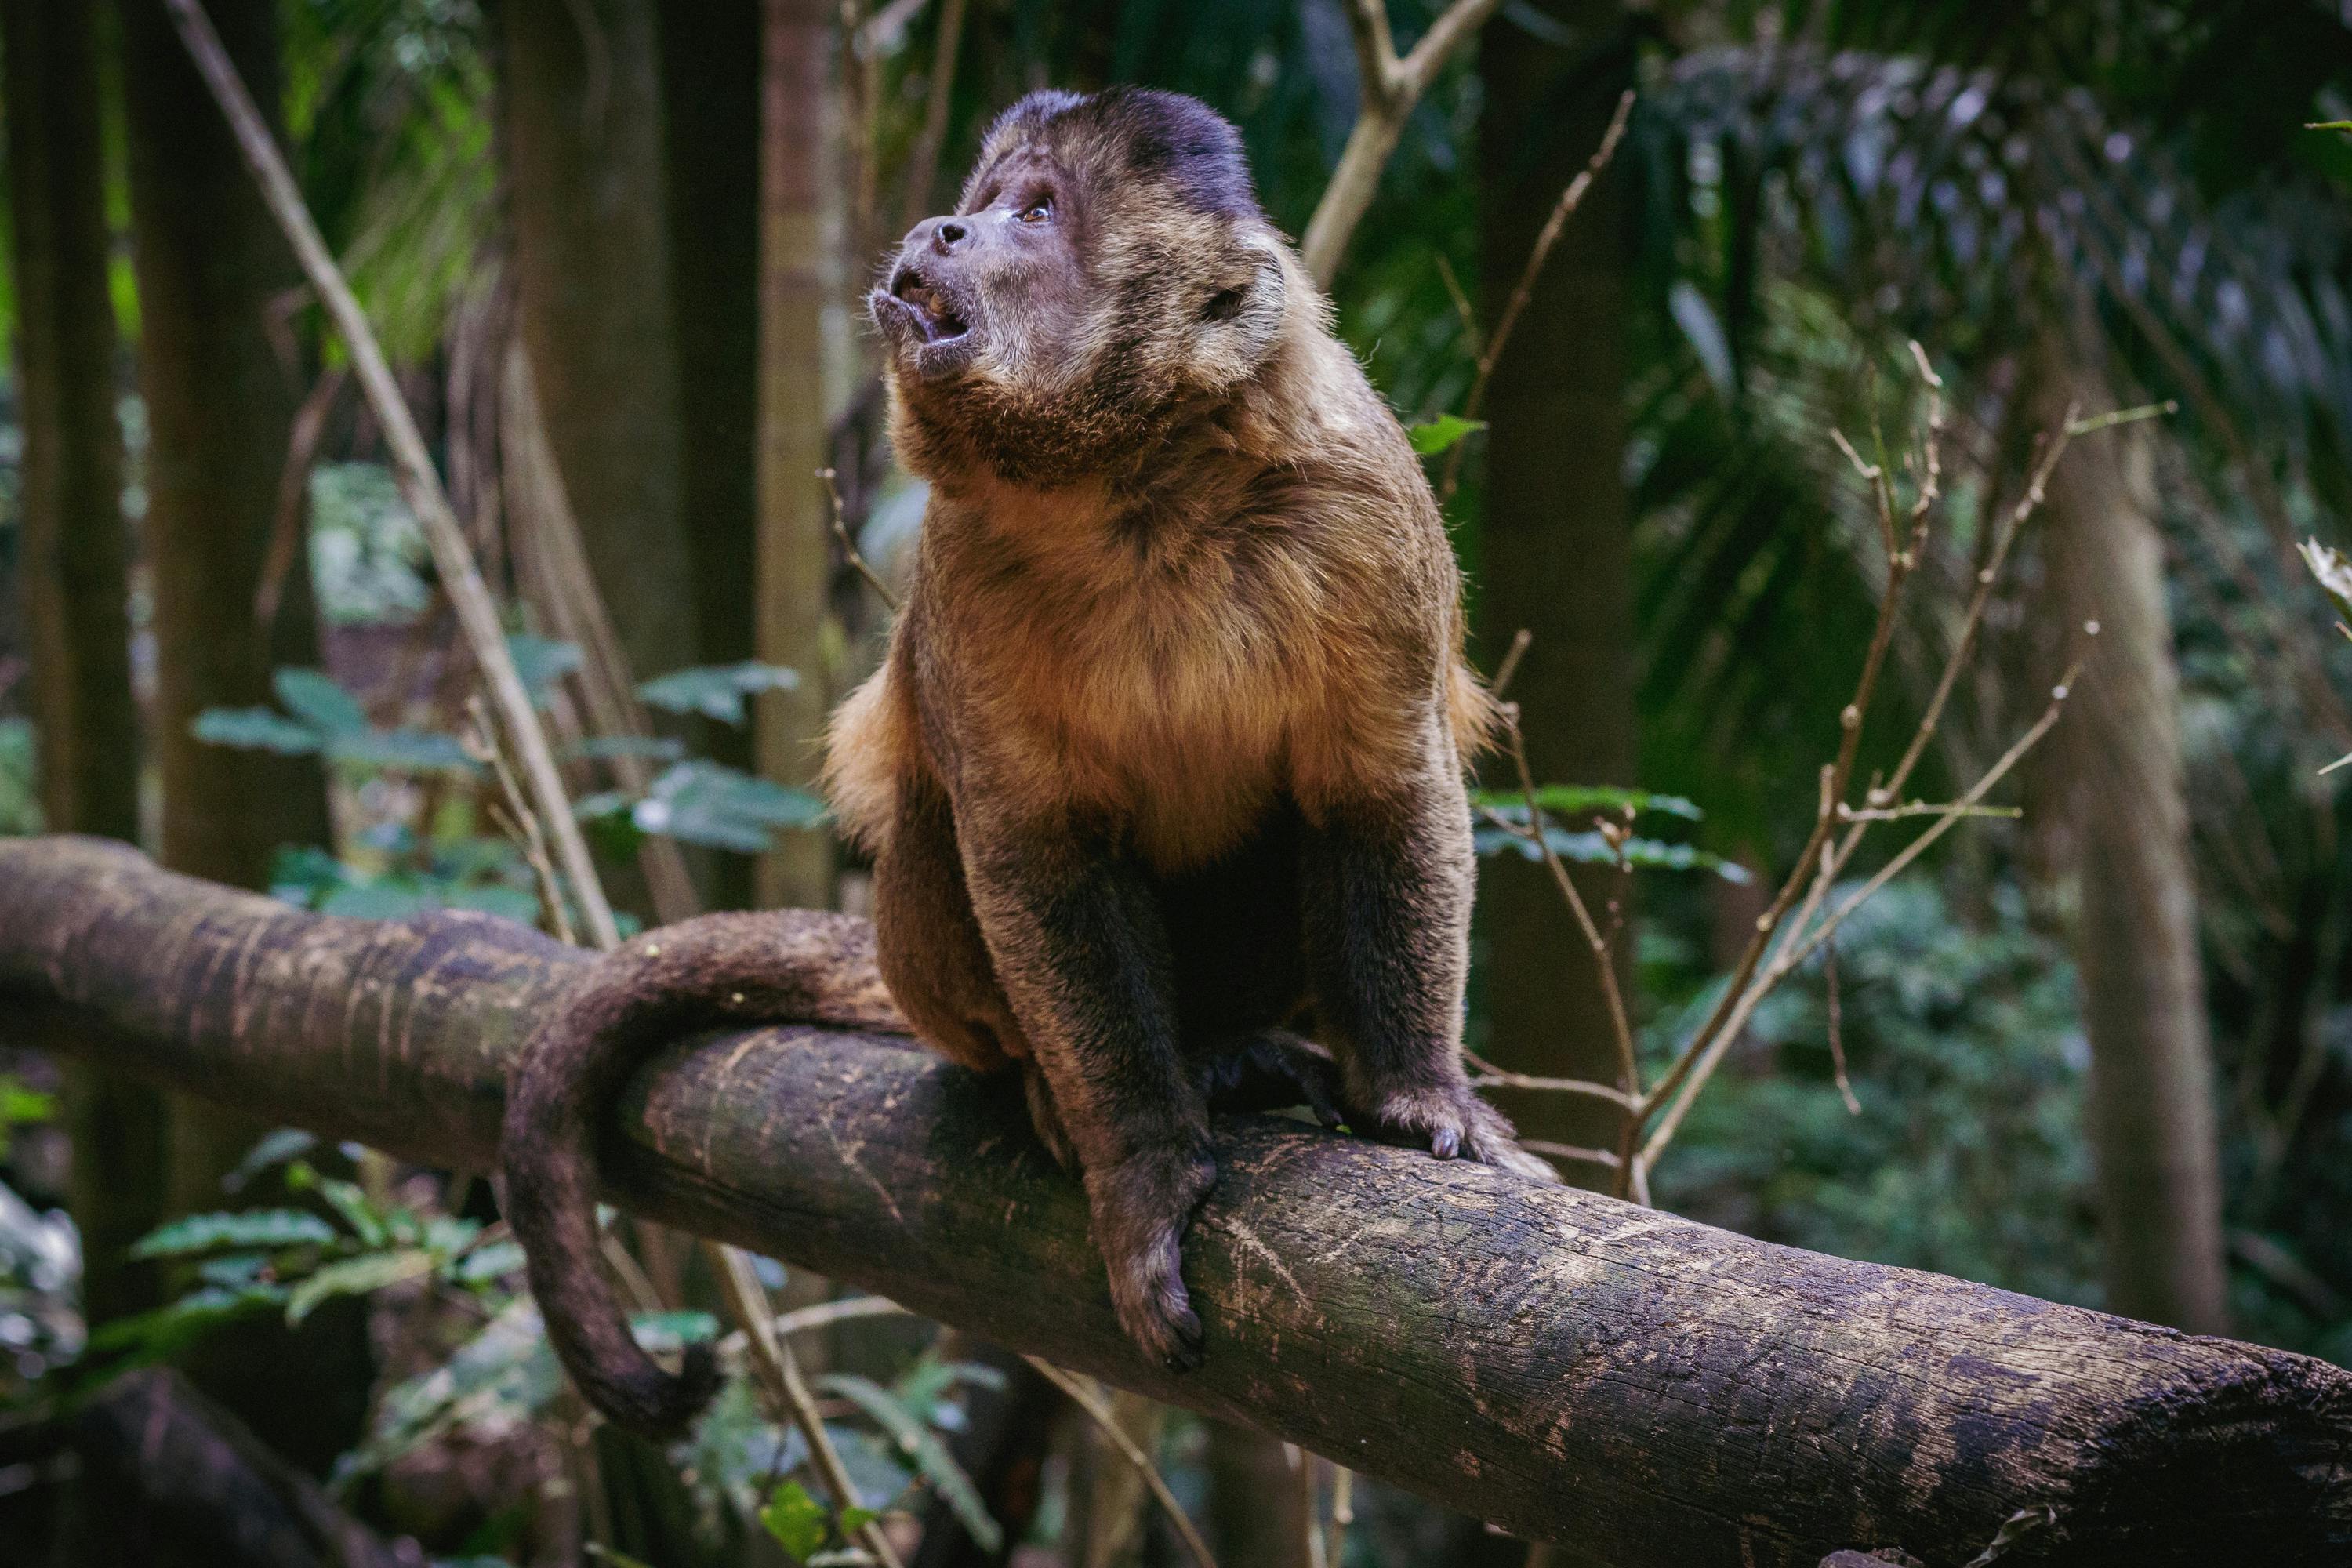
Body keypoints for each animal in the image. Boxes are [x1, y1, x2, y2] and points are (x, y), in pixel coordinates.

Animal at [500, 85, 1556, 1441]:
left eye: (1038, 214)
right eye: (988, 199)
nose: (943, 228)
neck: (1142, 489)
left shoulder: (1364, 512)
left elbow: (1379, 791)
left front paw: (1420, 1093)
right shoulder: (961, 562)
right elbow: (1031, 849)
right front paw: (1142, 1160)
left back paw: (1237, 1046)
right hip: (931, 969)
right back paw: (1087, 1083)